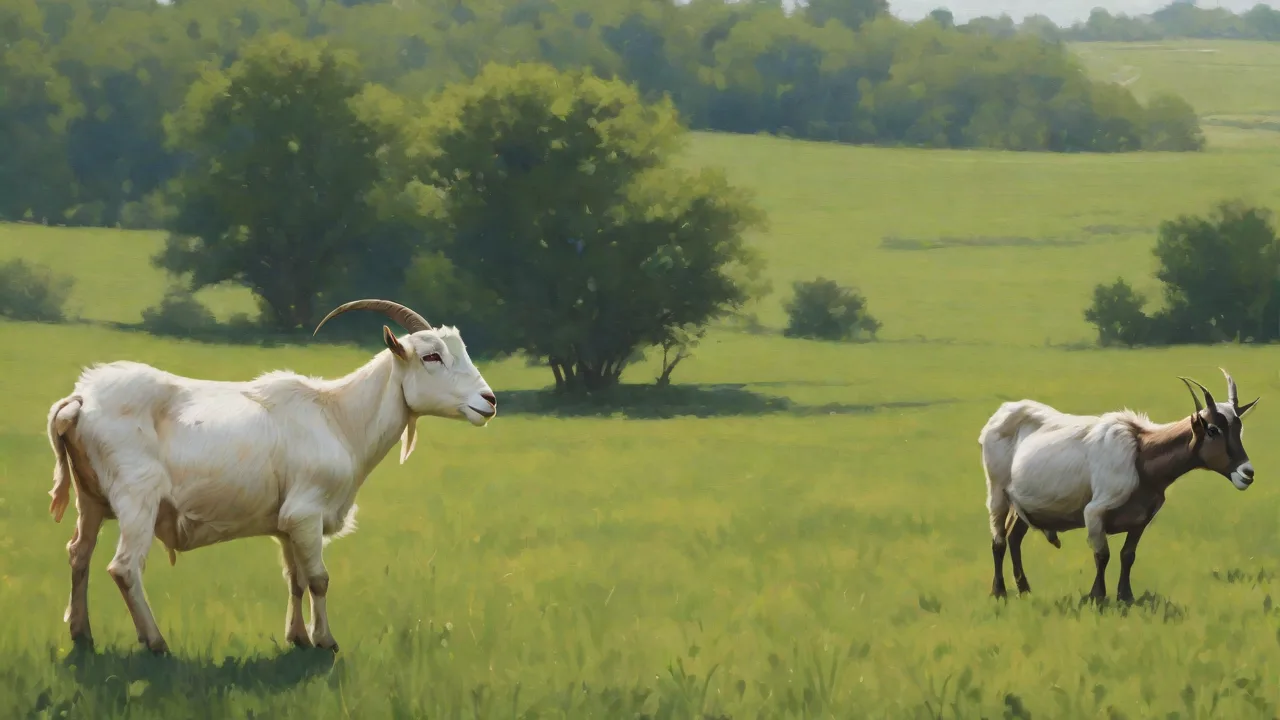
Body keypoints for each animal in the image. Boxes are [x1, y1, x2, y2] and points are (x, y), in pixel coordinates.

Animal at [45, 299, 497, 654]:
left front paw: (297, 637)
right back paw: (156, 643)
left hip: (90, 498)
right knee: (124, 568)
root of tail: (80, 400)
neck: (337, 417)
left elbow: (294, 579)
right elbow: (318, 579)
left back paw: (81, 634)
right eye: (431, 357)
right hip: (137, 497)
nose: (488, 401)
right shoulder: (306, 512)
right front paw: (326, 641)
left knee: (78, 553)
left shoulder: (286, 524)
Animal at [980, 369, 1259, 603]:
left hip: (1023, 505)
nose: (1247, 473)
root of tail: (1002, 414)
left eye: (1239, 429)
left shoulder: (1141, 519)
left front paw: (1126, 597)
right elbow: (1102, 555)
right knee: (999, 540)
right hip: (998, 493)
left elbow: (1128, 555)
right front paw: (1097, 597)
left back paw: (1025, 589)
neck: (1141, 452)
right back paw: (999, 592)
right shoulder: (1094, 512)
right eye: (1212, 430)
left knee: (1014, 538)